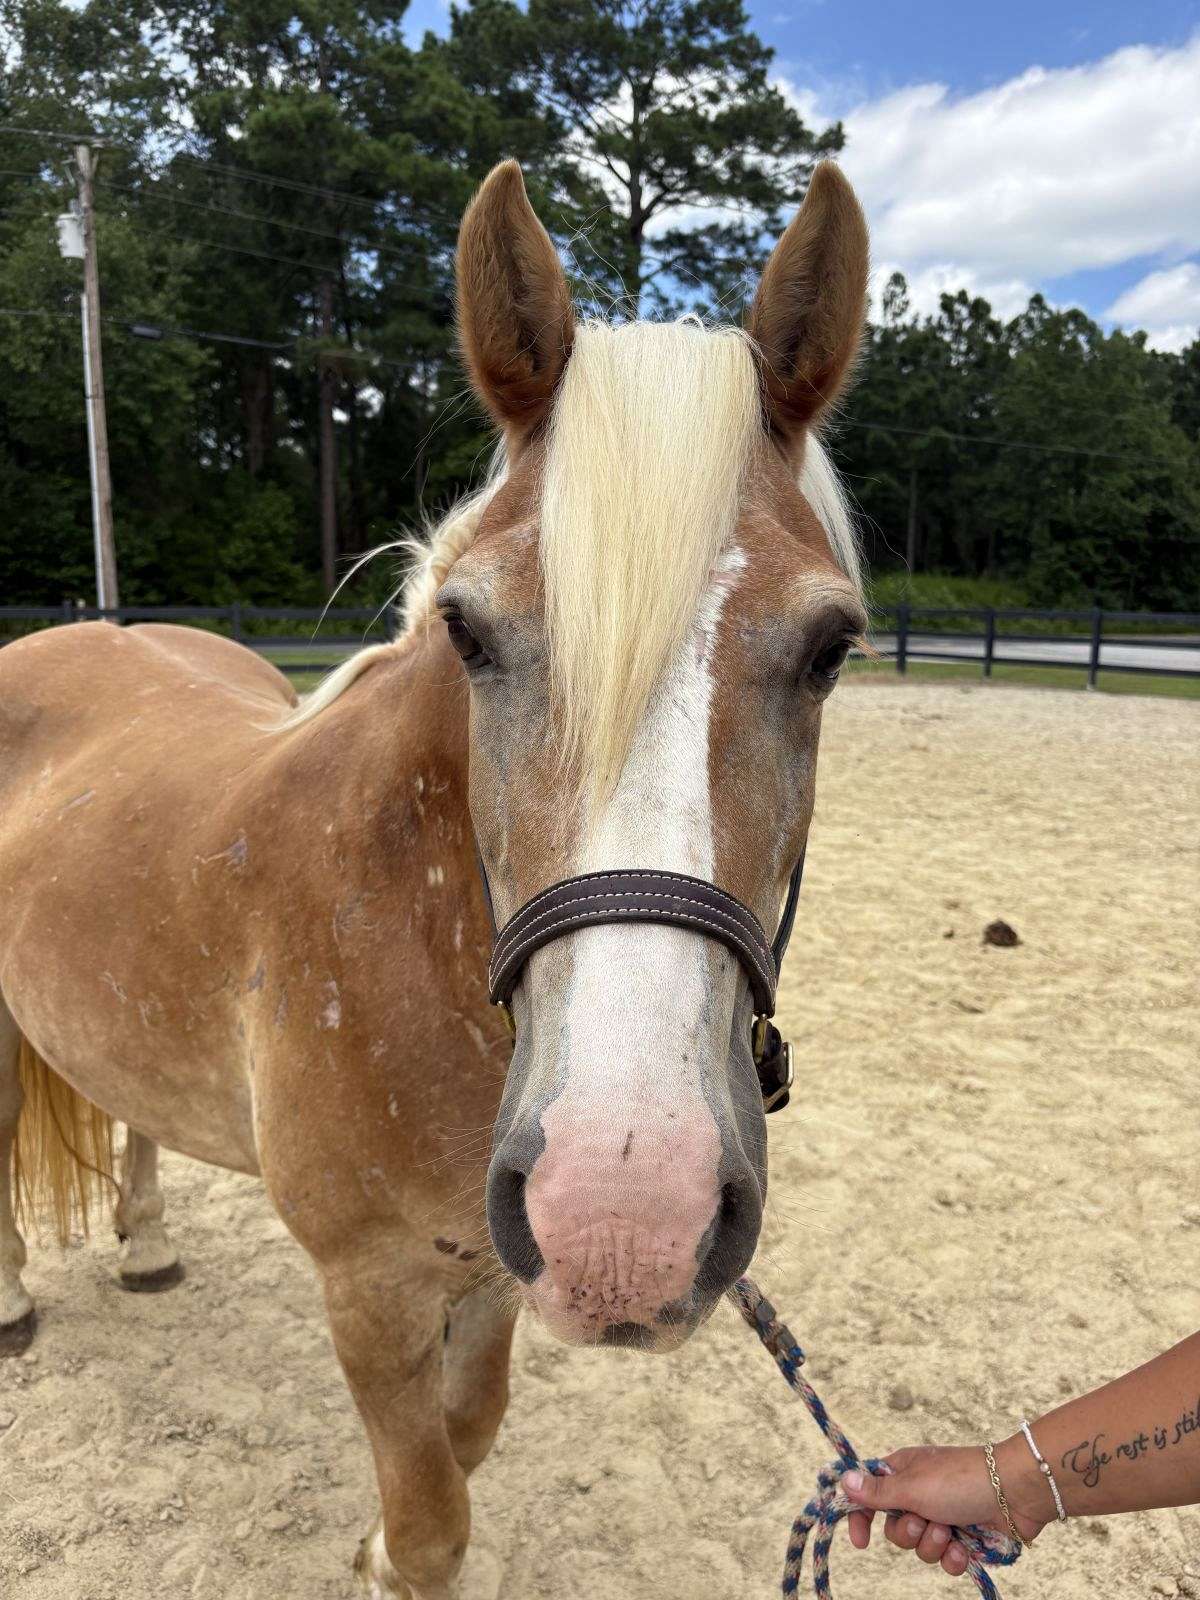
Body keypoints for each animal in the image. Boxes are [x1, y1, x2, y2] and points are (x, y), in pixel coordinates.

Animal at [0, 158, 869, 1597]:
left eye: (832, 648)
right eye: (467, 630)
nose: (626, 1210)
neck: (410, 932)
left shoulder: (493, 1272)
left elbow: (466, 1440)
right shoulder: (369, 1289)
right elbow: (429, 1526)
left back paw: (146, 1243)